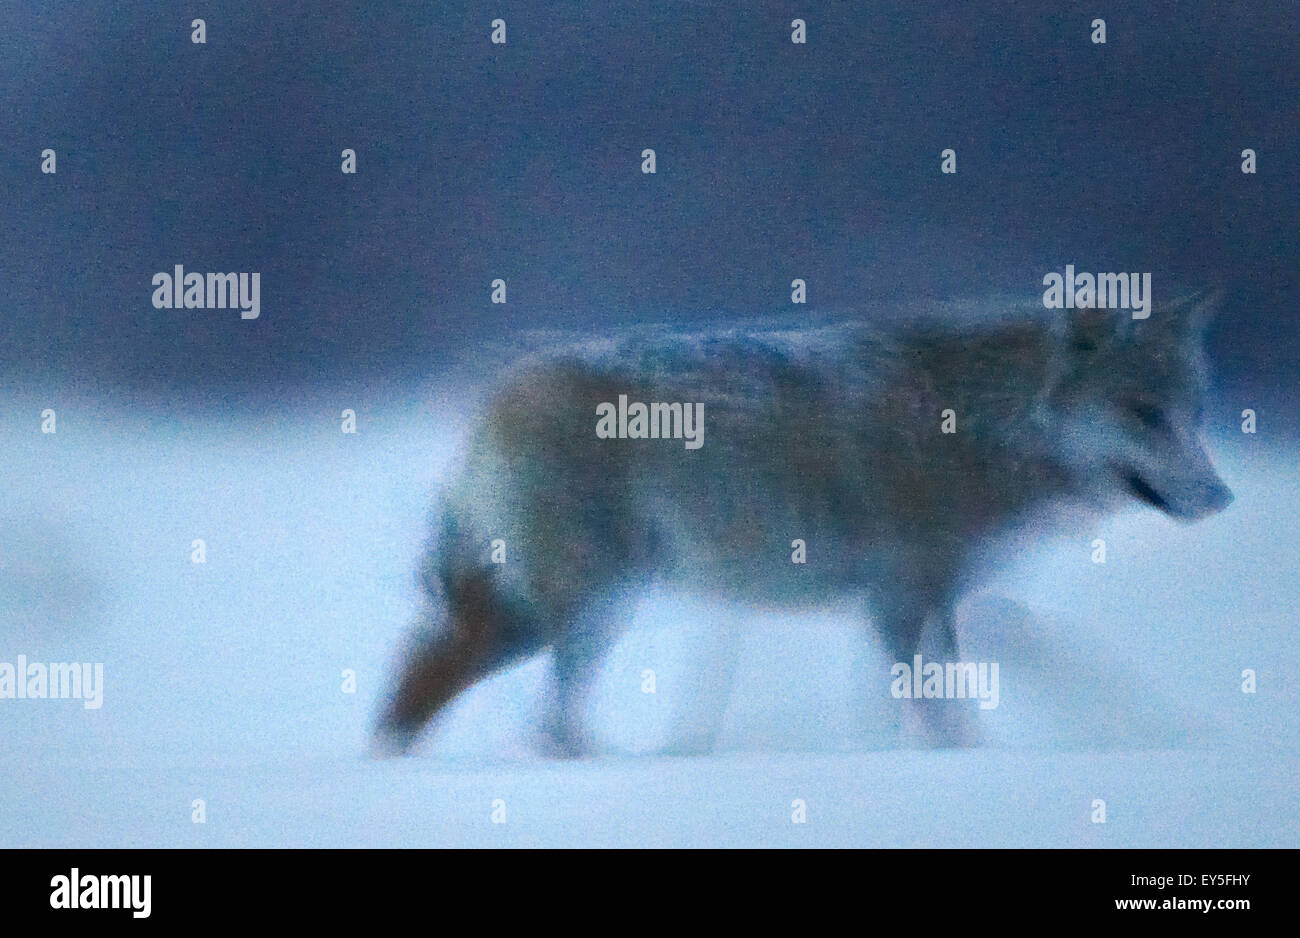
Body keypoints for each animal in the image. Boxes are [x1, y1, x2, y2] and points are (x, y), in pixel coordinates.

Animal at [373, 292, 1232, 756]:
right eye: (1144, 414)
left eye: (1192, 414)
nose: (1221, 497)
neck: (977, 427)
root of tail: (491, 396)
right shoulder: (901, 600)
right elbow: (944, 707)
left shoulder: (931, 601)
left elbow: (989, 670)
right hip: (589, 608)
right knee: (535, 720)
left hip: (543, 615)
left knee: (426, 682)